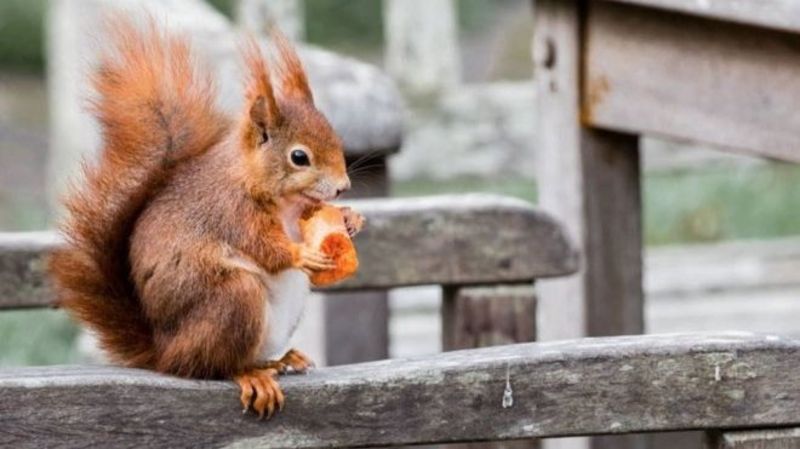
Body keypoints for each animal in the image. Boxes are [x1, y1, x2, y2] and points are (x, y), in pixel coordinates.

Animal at [47, 17, 364, 419]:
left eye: (335, 137)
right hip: (233, 301)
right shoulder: (234, 213)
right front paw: (300, 253)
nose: (343, 187)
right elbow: (264, 247)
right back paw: (251, 374)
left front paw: (351, 218)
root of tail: (165, 352)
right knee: (210, 367)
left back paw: (280, 360)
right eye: (299, 157)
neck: (280, 200)